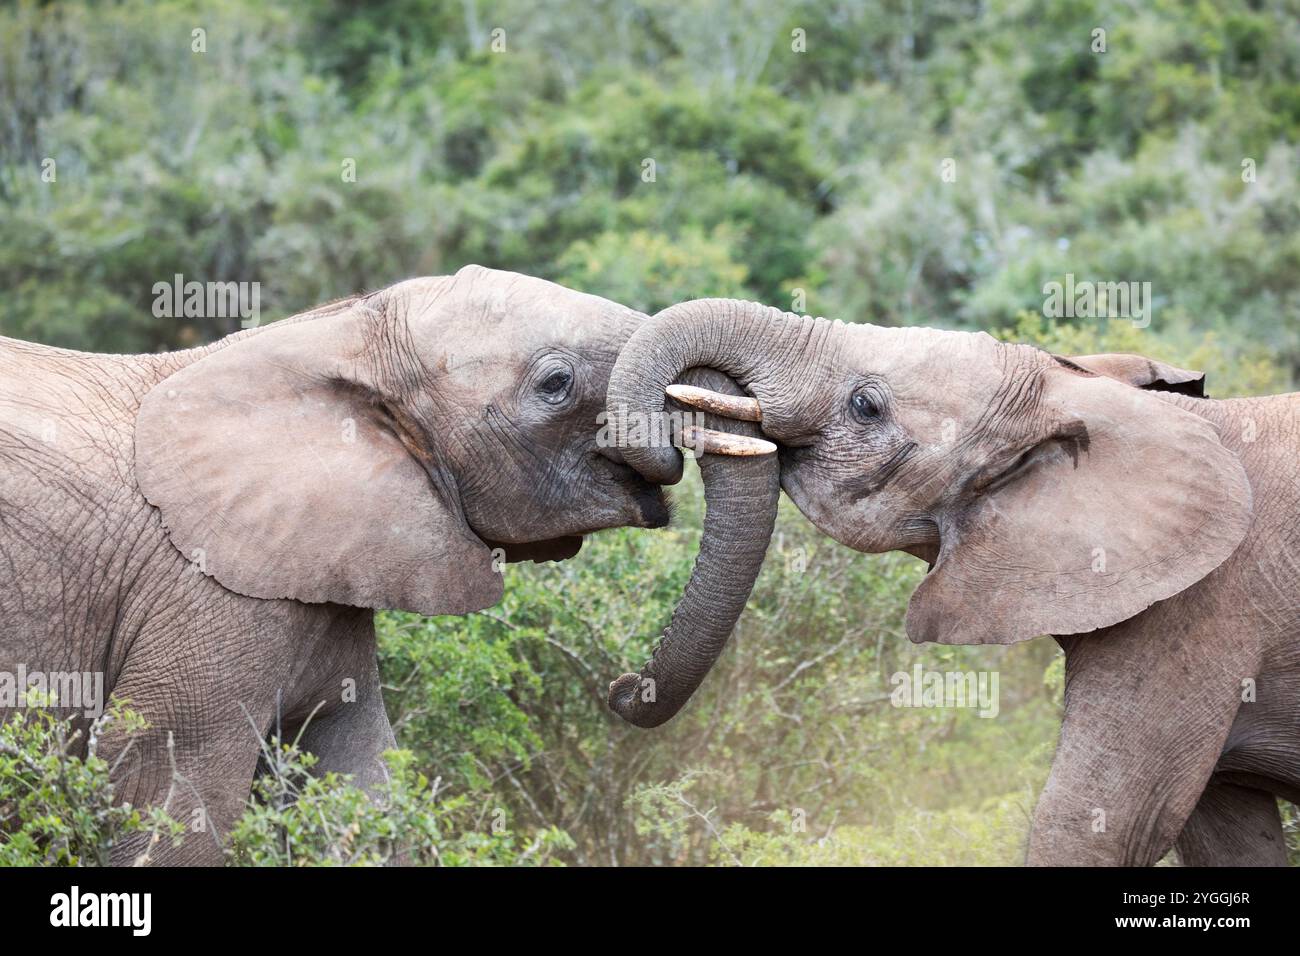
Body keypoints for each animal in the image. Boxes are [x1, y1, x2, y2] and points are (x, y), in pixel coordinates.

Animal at [0, 265, 773, 866]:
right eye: (556, 383)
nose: (621, 687)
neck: (336, 330)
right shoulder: (202, 593)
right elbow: (167, 807)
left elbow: (361, 785)